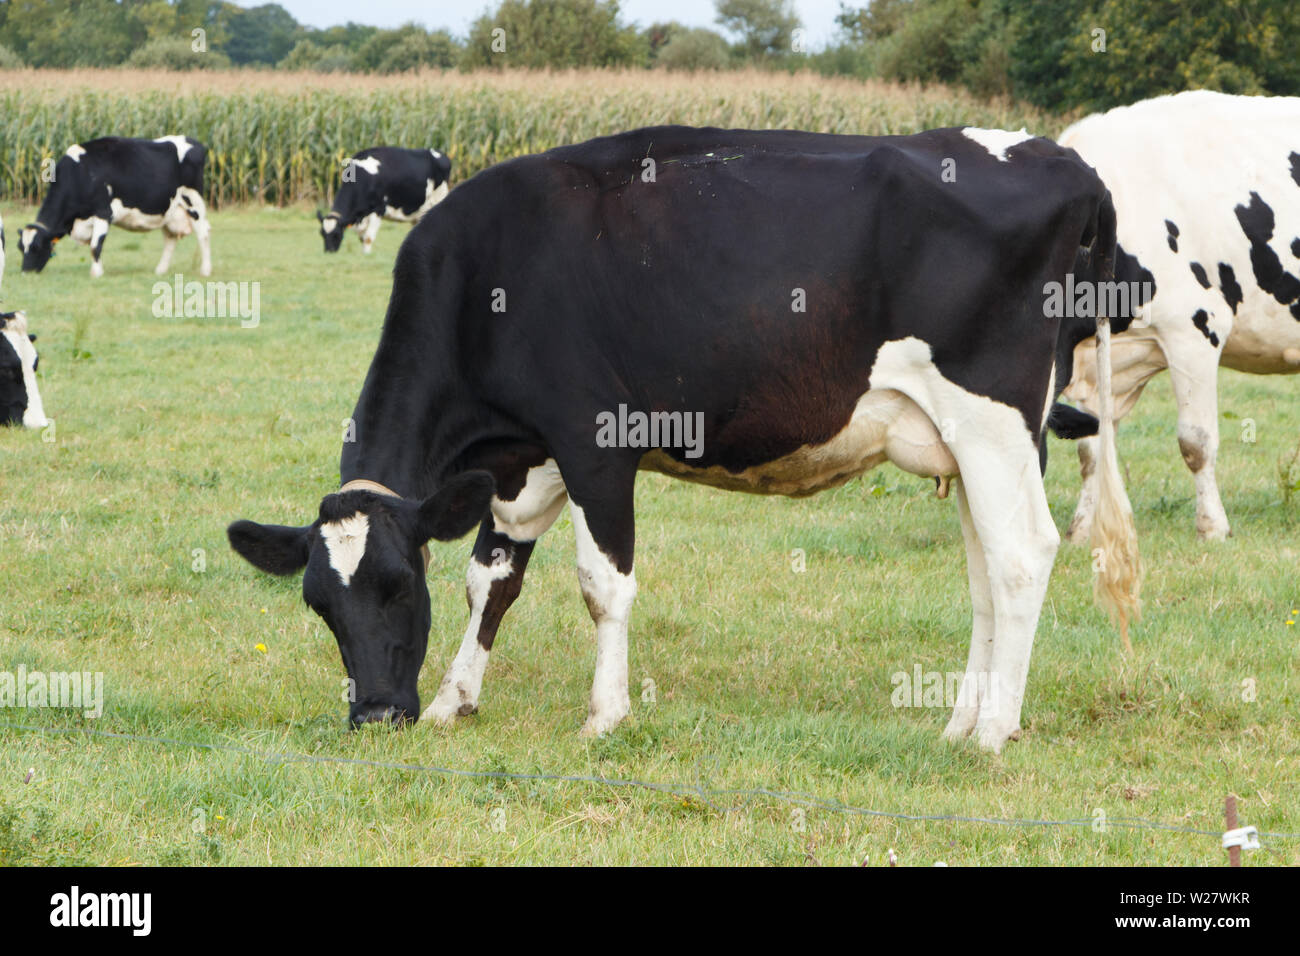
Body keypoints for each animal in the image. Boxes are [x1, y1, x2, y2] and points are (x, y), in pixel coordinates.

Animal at [18, 135, 212, 279]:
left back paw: (205, 270)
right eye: (21, 247)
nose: (25, 272)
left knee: (203, 233)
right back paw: (160, 270)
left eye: (36, 247)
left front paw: (96, 273)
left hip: (193, 202)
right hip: (169, 211)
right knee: (170, 240)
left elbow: (95, 246)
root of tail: (195, 143)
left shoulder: (104, 212)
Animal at [317, 147, 452, 254]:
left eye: (336, 234)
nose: (329, 251)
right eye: (322, 234)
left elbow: (368, 238)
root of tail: (441, 154)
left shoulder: (378, 209)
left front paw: (366, 255)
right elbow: (362, 237)